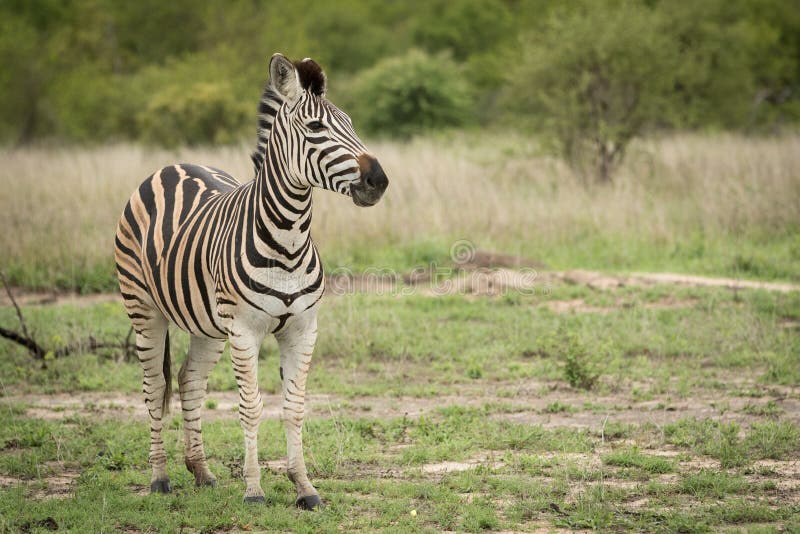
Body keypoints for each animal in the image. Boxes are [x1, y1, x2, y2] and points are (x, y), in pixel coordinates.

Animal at [114, 53, 388, 510]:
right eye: (316, 128)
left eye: (350, 123)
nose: (378, 181)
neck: (289, 240)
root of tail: (172, 166)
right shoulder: (245, 331)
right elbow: (251, 407)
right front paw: (255, 490)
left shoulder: (303, 329)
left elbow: (294, 407)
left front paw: (305, 488)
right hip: (144, 310)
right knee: (154, 387)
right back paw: (160, 478)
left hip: (207, 324)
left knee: (189, 380)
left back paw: (201, 472)